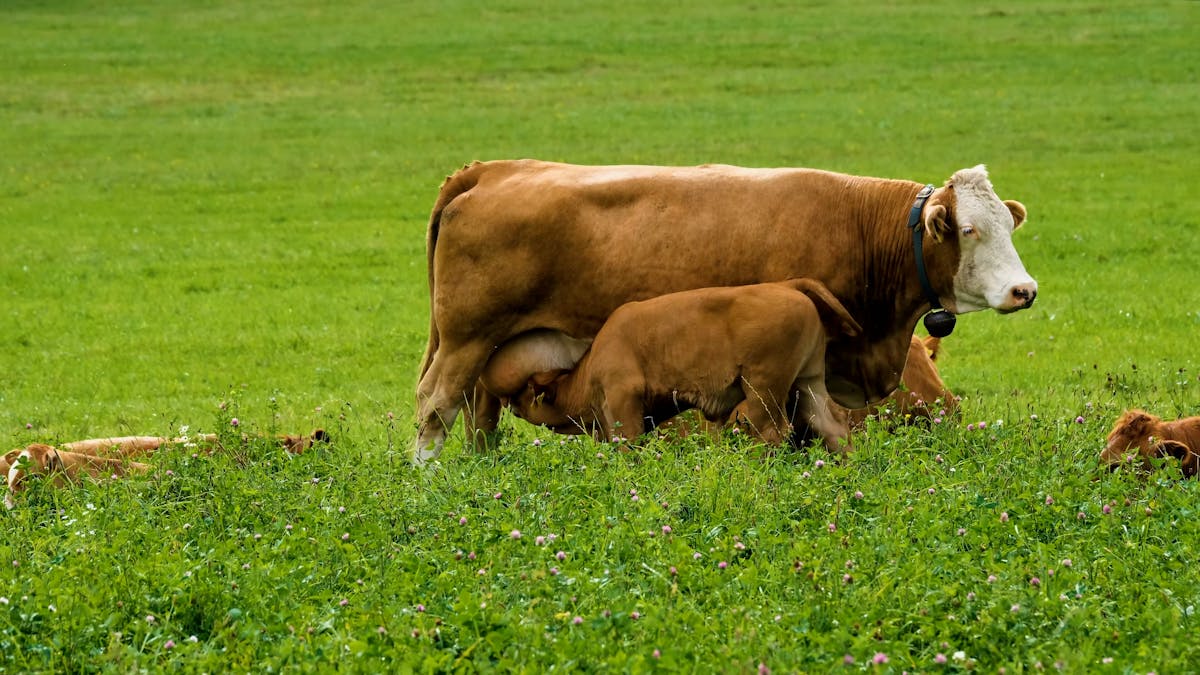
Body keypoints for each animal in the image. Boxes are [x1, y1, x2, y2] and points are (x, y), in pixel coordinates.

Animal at [415, 161, 1037, 464]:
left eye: (1008, 227)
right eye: (968, 230)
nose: (1024, 291)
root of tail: (494, 168)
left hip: (491, 352)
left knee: (479, 413)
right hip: (464, 340)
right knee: (435, 407)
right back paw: (430, 480)